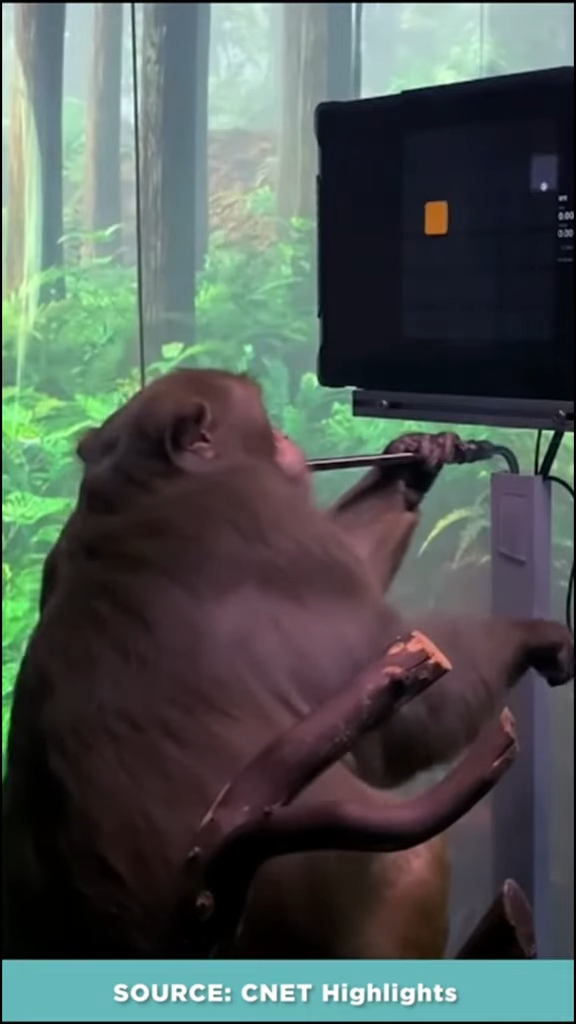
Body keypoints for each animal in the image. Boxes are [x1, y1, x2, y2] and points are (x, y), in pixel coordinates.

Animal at [2, 368, 573, 960]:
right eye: (265, 424)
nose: (286, 440)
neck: (140, 491)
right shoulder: (276, 531)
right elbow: (406, 716)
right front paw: (535, 636)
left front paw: (416, 459)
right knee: (412, 863)